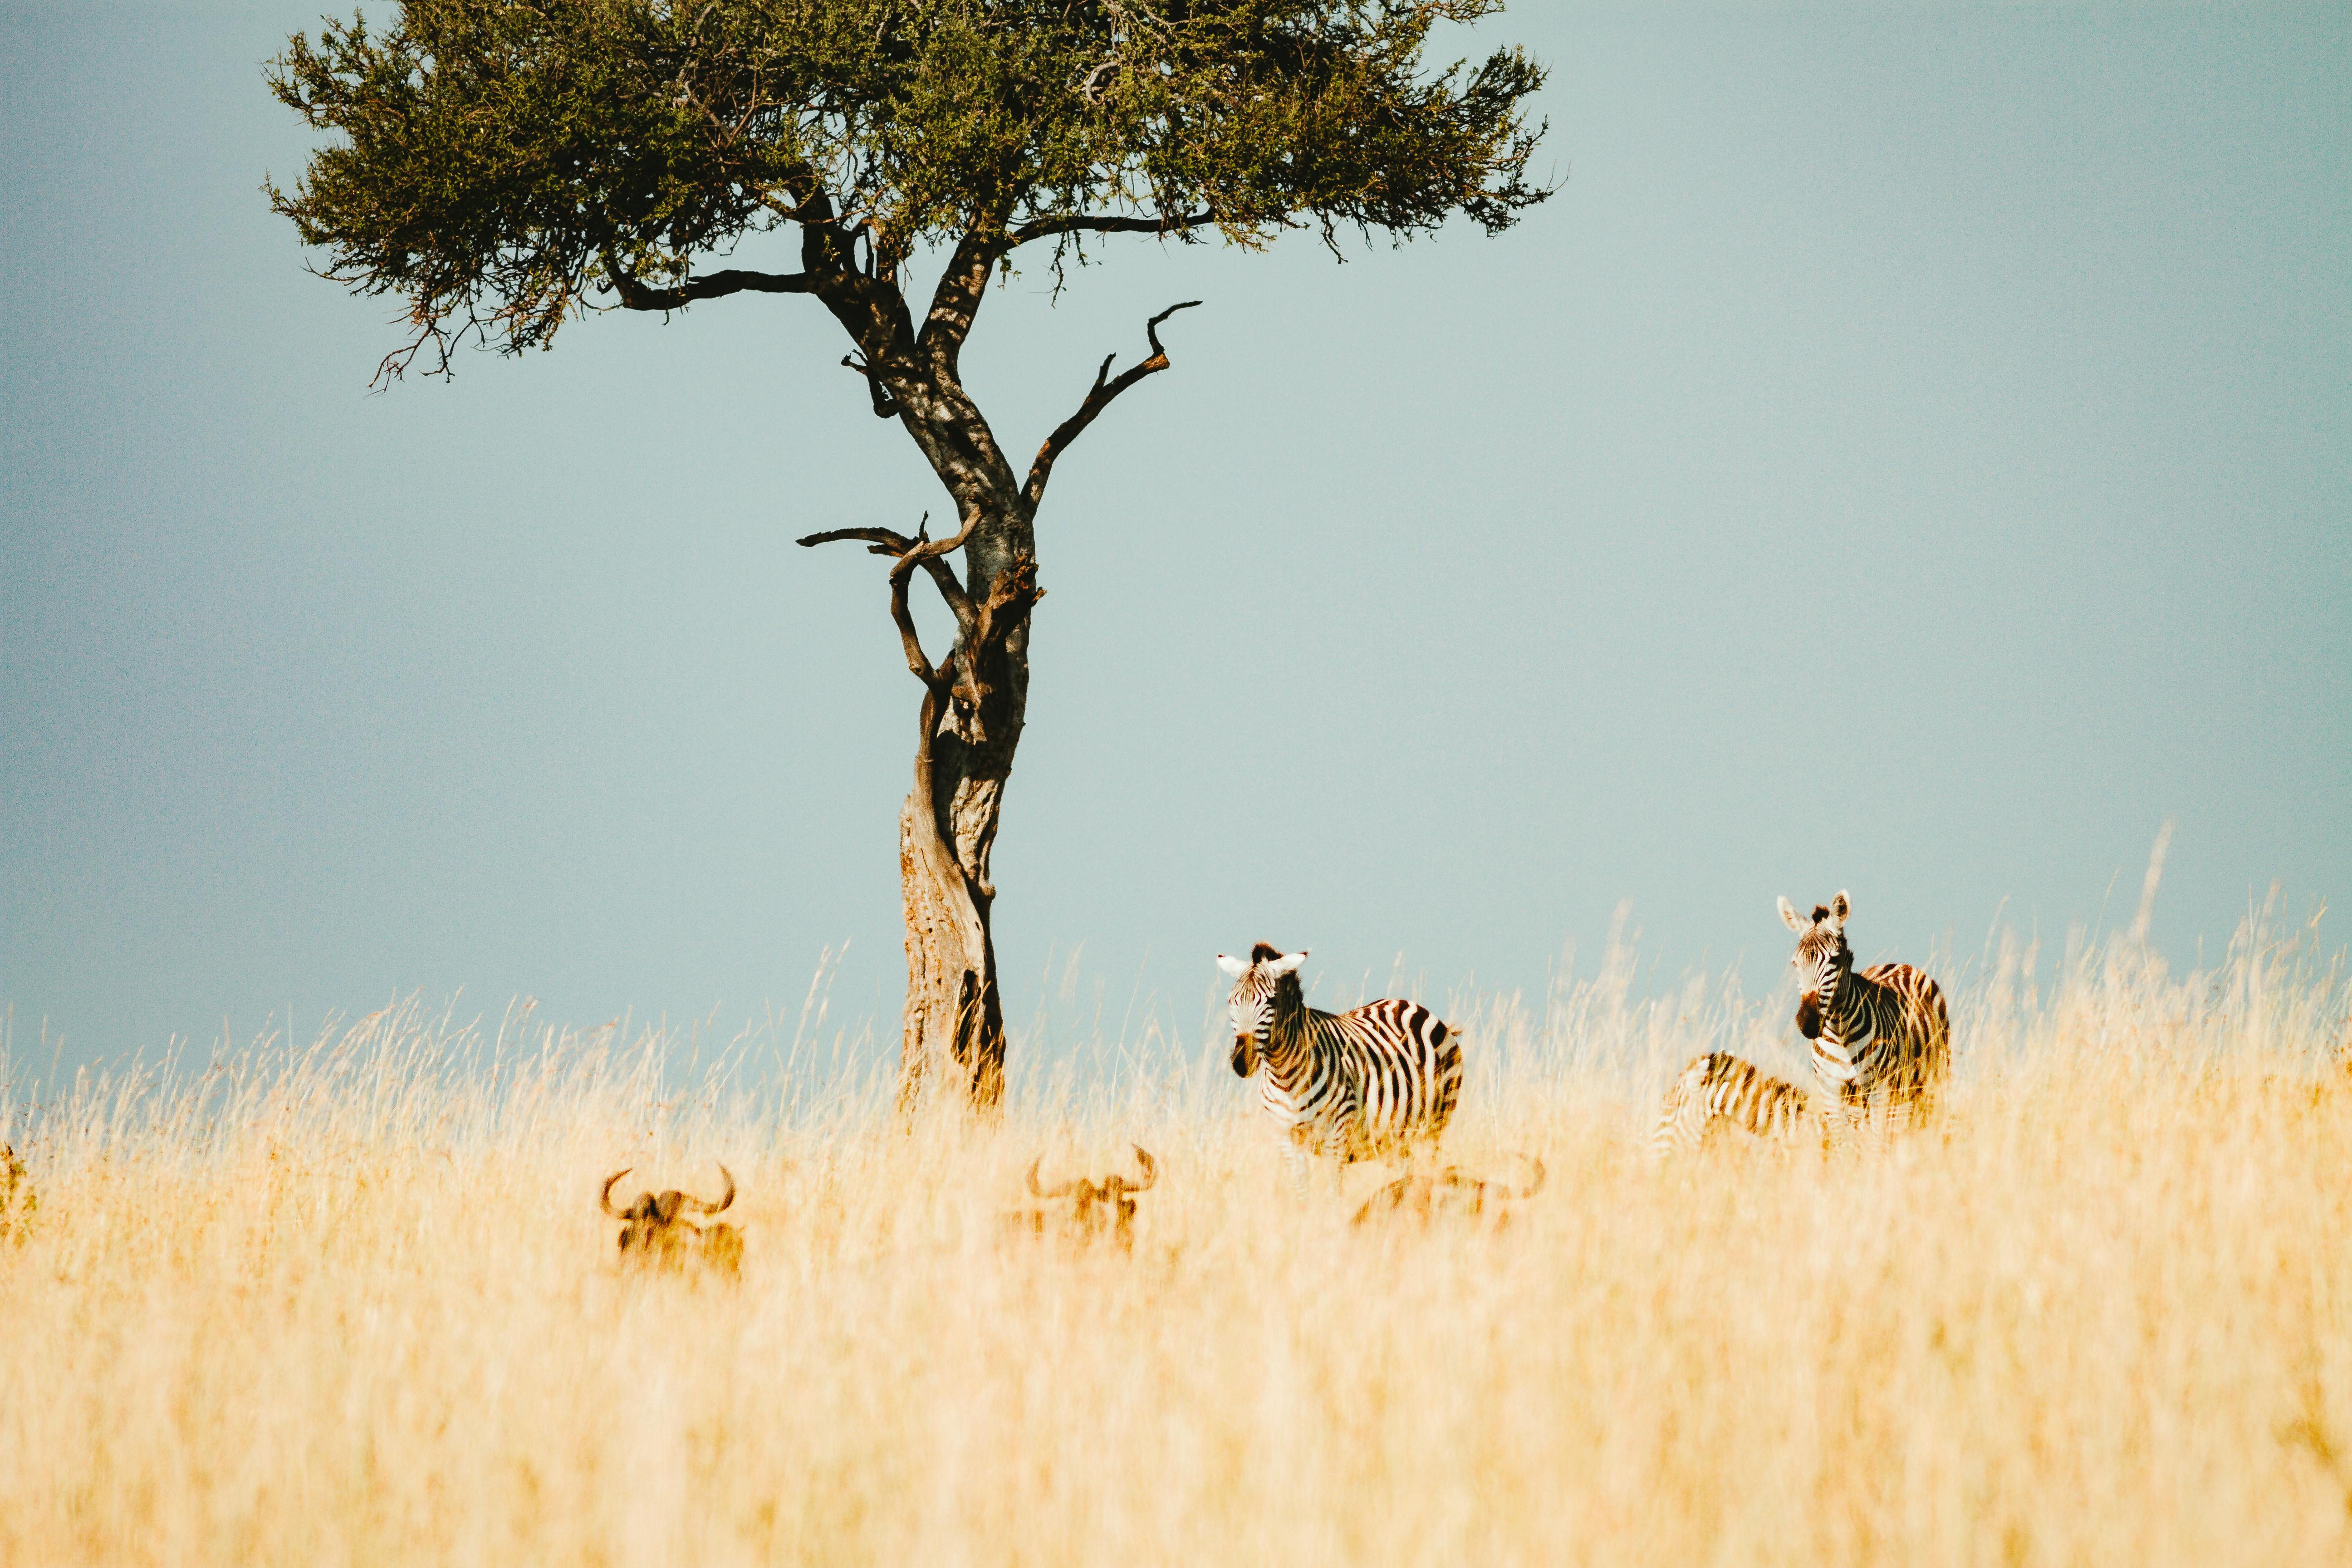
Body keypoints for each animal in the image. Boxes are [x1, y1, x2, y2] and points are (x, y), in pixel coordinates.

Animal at [1216, 944, 1463, 1198]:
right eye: (1232, 1001)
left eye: (1271, 1002)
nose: (1242, 1061)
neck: (1286, 1077)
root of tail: (1408, 1004)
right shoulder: (1286, 1138)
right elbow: (1301, 1192)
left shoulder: (1337, 1135)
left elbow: (1332, 1193)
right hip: (1398, 1139)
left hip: (1434, 1125)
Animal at [1779, 890, 1951, 1136]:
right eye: (1795, 963)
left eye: (1834, 960)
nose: (1807, 1022)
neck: (1841, 1036)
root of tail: (1899, 965)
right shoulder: (1832, 1094)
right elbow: (1844, 1141)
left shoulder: (1880, 1090)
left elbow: (1877, 1140)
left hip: (1932, 1076)